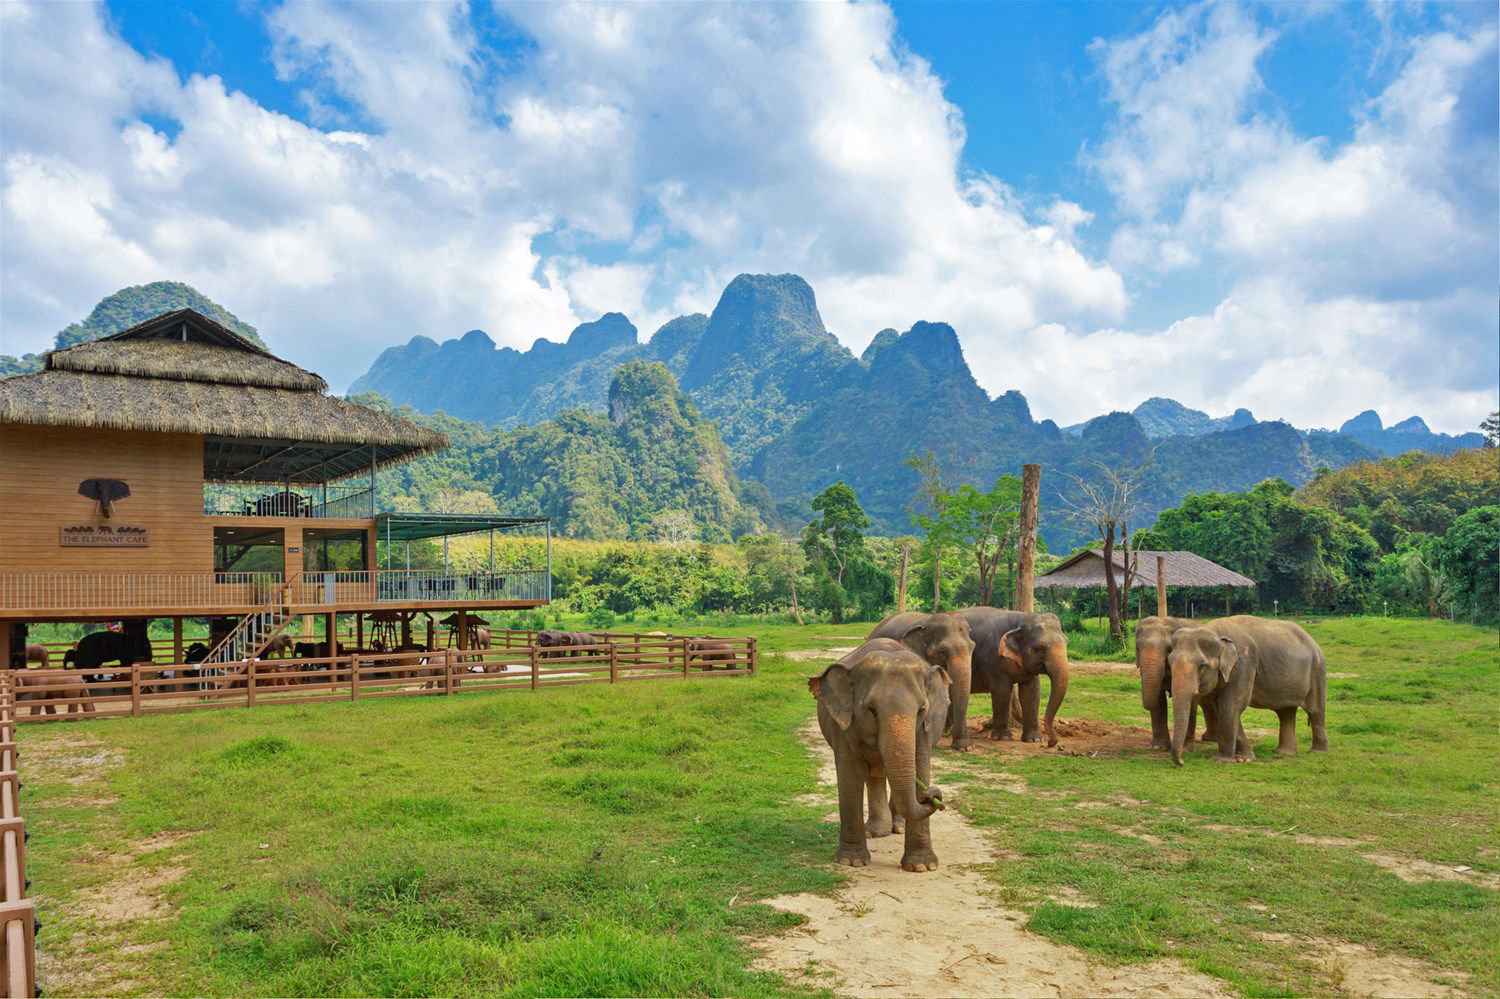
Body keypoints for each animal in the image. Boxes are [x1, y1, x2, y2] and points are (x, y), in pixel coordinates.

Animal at [808, 639, 950, 872]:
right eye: (871, 710)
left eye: (921, 710)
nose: (934, 797)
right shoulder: (844, 727)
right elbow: (850, 776)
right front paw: (851, 862)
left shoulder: (924, 730)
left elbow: (920, 767)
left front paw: (922, 867)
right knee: (874, 775)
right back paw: (876, 832)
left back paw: (897, 828)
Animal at [959, 607, 1070, 746]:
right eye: (1040, 647)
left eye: (1067, 642)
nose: (1050, 742)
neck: (1020, 620)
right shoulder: (993, 659)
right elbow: (1002, 691)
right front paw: (1003, 738)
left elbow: (1031, 692)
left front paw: (1034, 739)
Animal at [1167, 615, 1329, 766]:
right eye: (1169, 661)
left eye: (1202, 666)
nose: (1183, 761)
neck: (1215, 632)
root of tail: (1313, 641)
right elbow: (1222, 707)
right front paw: (1243, 758)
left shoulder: (1244, 664)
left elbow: (1231, 706)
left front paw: (1223, 760)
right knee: (1286, 712)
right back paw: (1285, 753)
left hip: (1317, 671)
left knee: (1315, 711)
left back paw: (1317, 752)